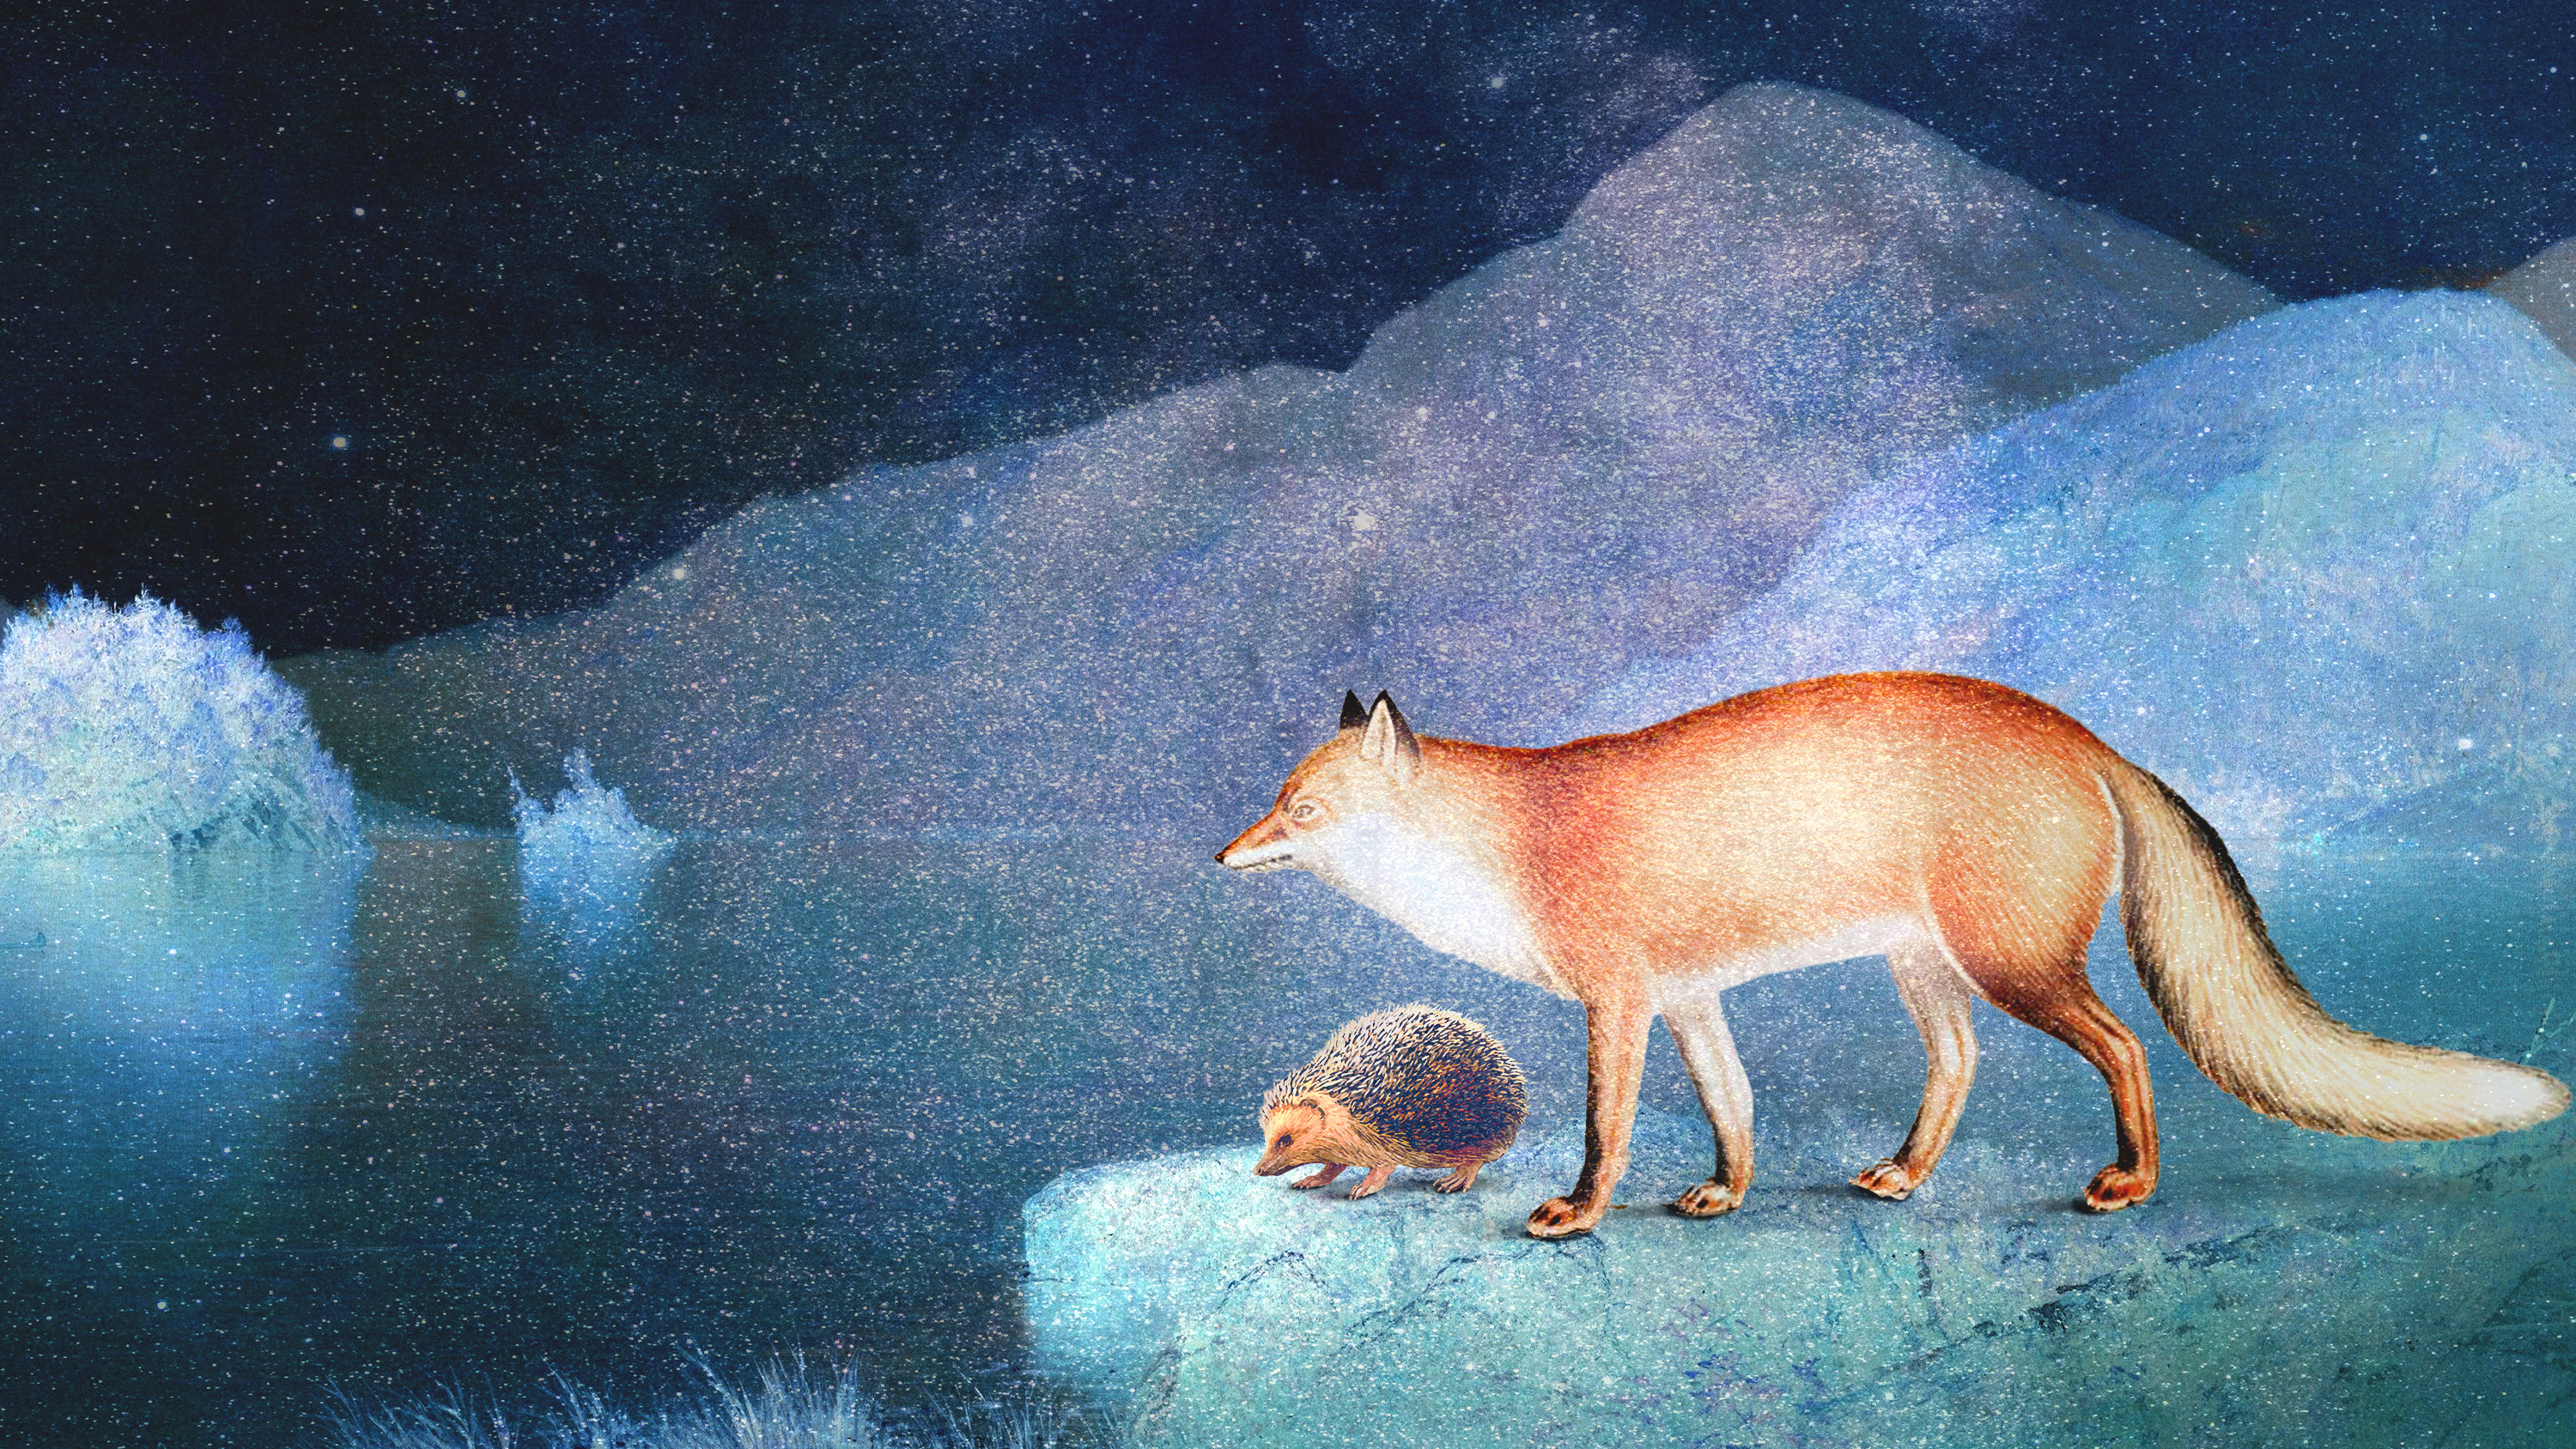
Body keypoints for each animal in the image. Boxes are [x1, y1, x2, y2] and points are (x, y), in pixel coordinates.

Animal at [1217, 673, 2570, 1240]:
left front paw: (1579, 1214)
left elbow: (1606, 1129)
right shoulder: (1692, 999)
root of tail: (2085, 736)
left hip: (2016, 965)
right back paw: (1907, 1176)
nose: (1224, 852)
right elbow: (1736, 1109)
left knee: (2129, 1046)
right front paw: (1725, 1196)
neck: (1511, 847)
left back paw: (2128, 1182)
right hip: (1933, 974)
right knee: (1961, 1067)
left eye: (1302, 810)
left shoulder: (1621, 998)